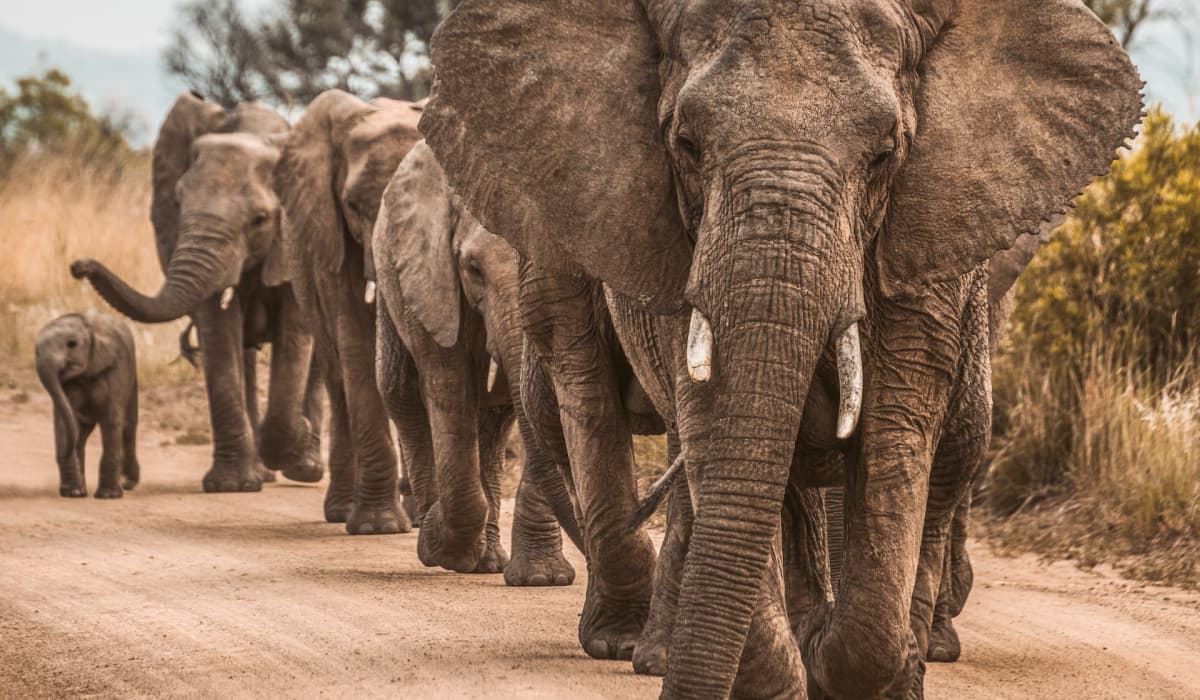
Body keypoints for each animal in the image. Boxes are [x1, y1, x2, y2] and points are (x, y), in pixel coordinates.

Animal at [35, 310, 139, 499]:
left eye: (72, 344)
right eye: (35, 351)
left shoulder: (115, 369)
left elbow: (111, 419)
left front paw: (108, 496)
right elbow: (65, 420)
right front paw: (73, 493)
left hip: (132, 378)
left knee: (128, 427)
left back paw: (127, 483)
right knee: (81, 433)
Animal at [70, 92, 323, 494]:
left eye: (260, 220)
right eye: (177, 203)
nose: (79, 265)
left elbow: (296, 334)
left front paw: (294, 439)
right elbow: (218, 332)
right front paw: (232, 486)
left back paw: (305, 468)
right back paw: (263, 472)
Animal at [272, 89, 424, 532]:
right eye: (353, 205)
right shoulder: (329, 234)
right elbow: (355, 339)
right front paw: (378, 526)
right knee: (338, 377)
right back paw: (343, 510)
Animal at [372, 140, 582, 581]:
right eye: (473, 269)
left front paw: (543, 580)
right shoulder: (432, 277)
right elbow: (448, 386)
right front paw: (440, 545)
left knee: (496, 420)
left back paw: (486, 562)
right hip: (390, 278)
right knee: (402, 394)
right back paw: (435, 539)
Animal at [420, 1, 1141, 698]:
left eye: (885, 154)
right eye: (685, 145)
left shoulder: (932, 236)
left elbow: (897, 431)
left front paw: (844, 656)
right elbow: (715, 422)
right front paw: (792, 662)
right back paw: (637, 644)